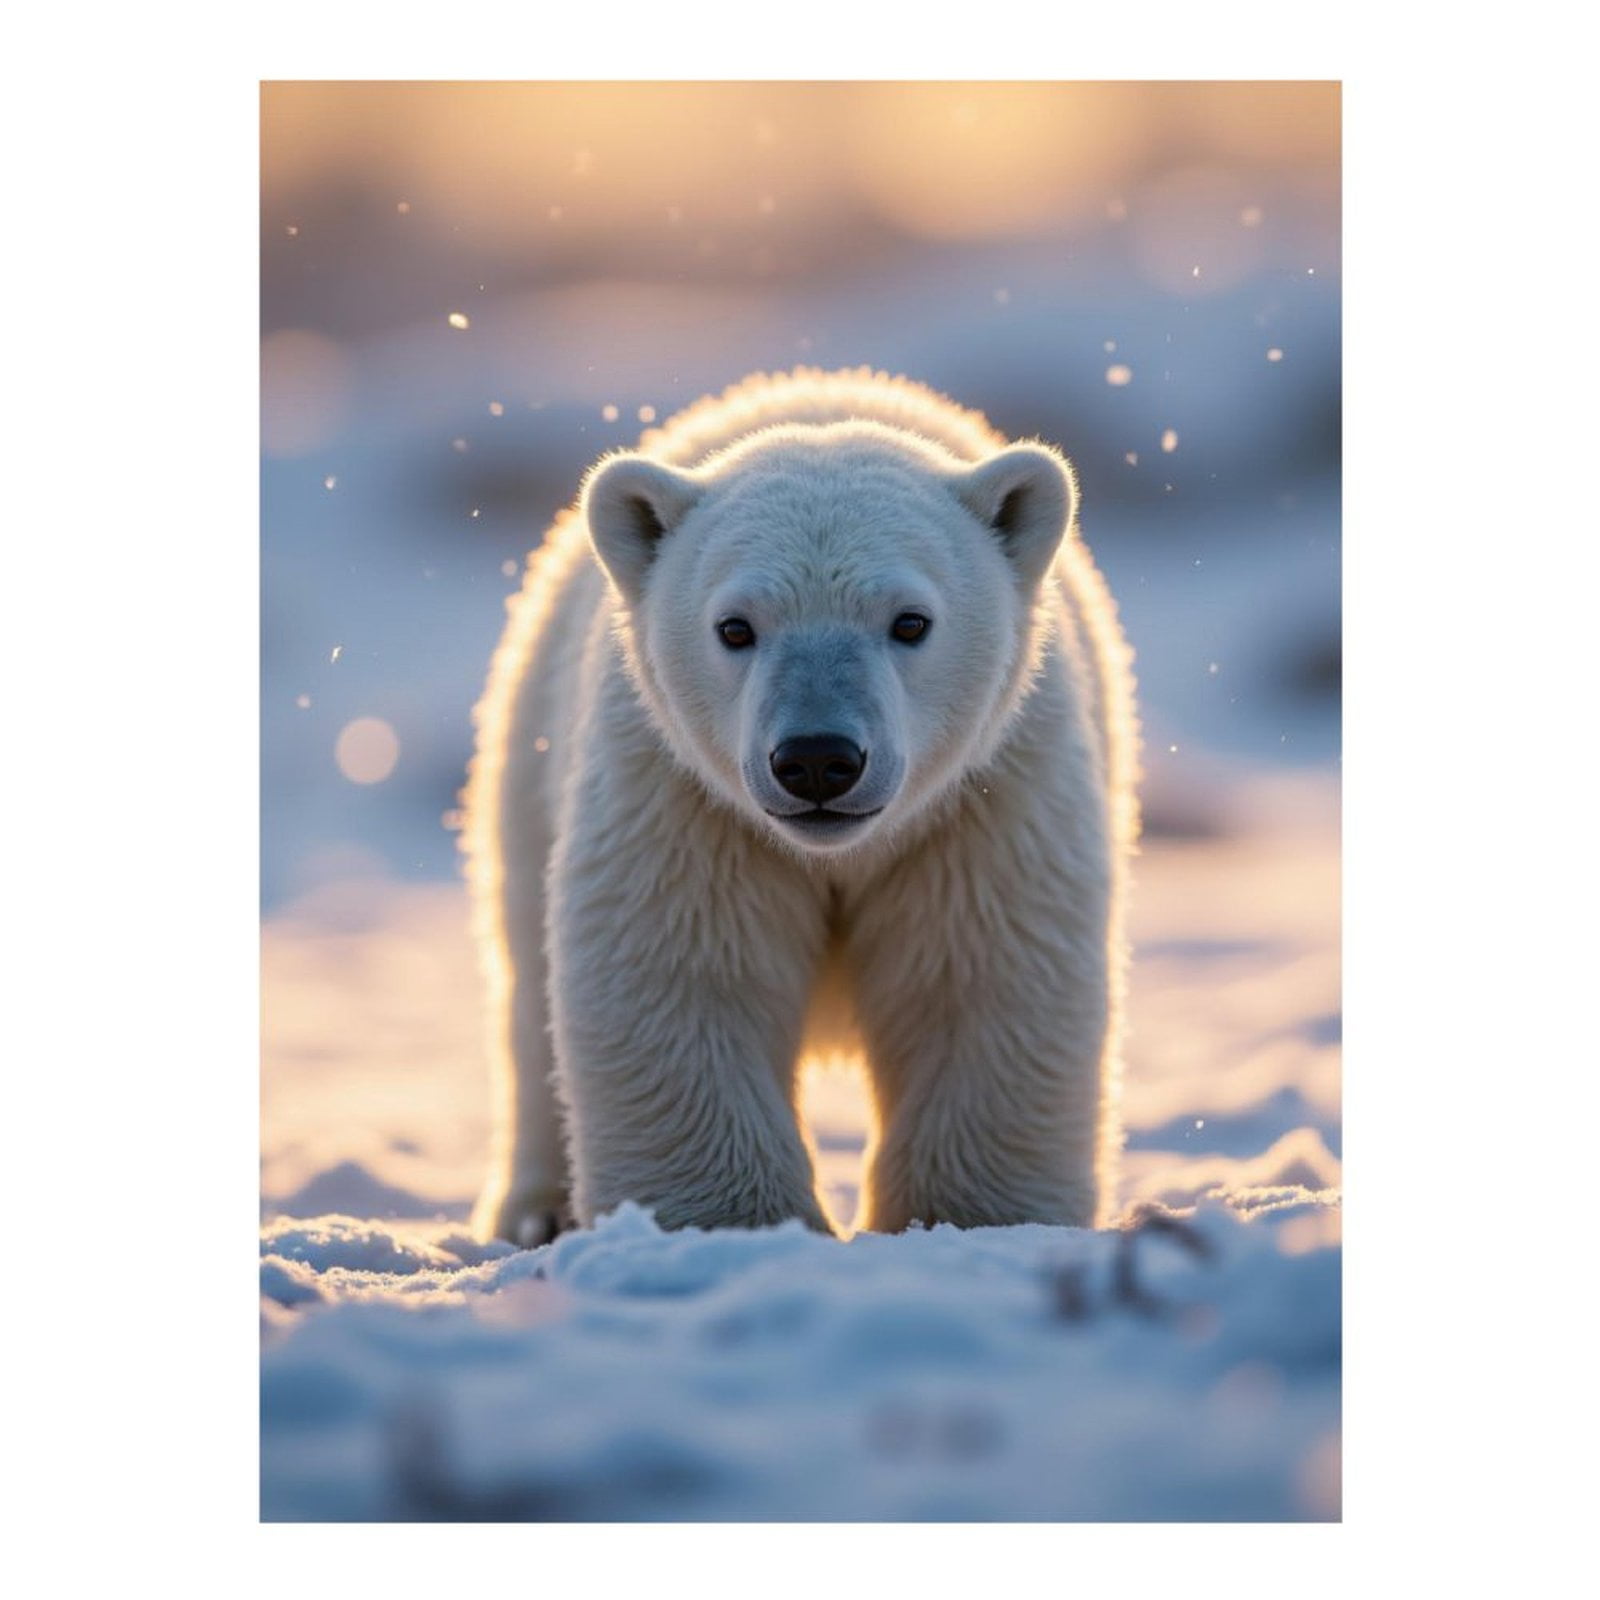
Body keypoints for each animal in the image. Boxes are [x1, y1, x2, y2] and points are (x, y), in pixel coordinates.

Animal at [465, 368, 1139, 1247]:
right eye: (735, 627)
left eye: (911, 621)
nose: (818, 759)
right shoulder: (687, 808)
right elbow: (687, 977)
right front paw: (727, 1224)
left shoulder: (983, 806)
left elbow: (977, 976)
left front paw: (971, 1220)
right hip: (525, 771)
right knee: (526, 988)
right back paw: (538, 1211)